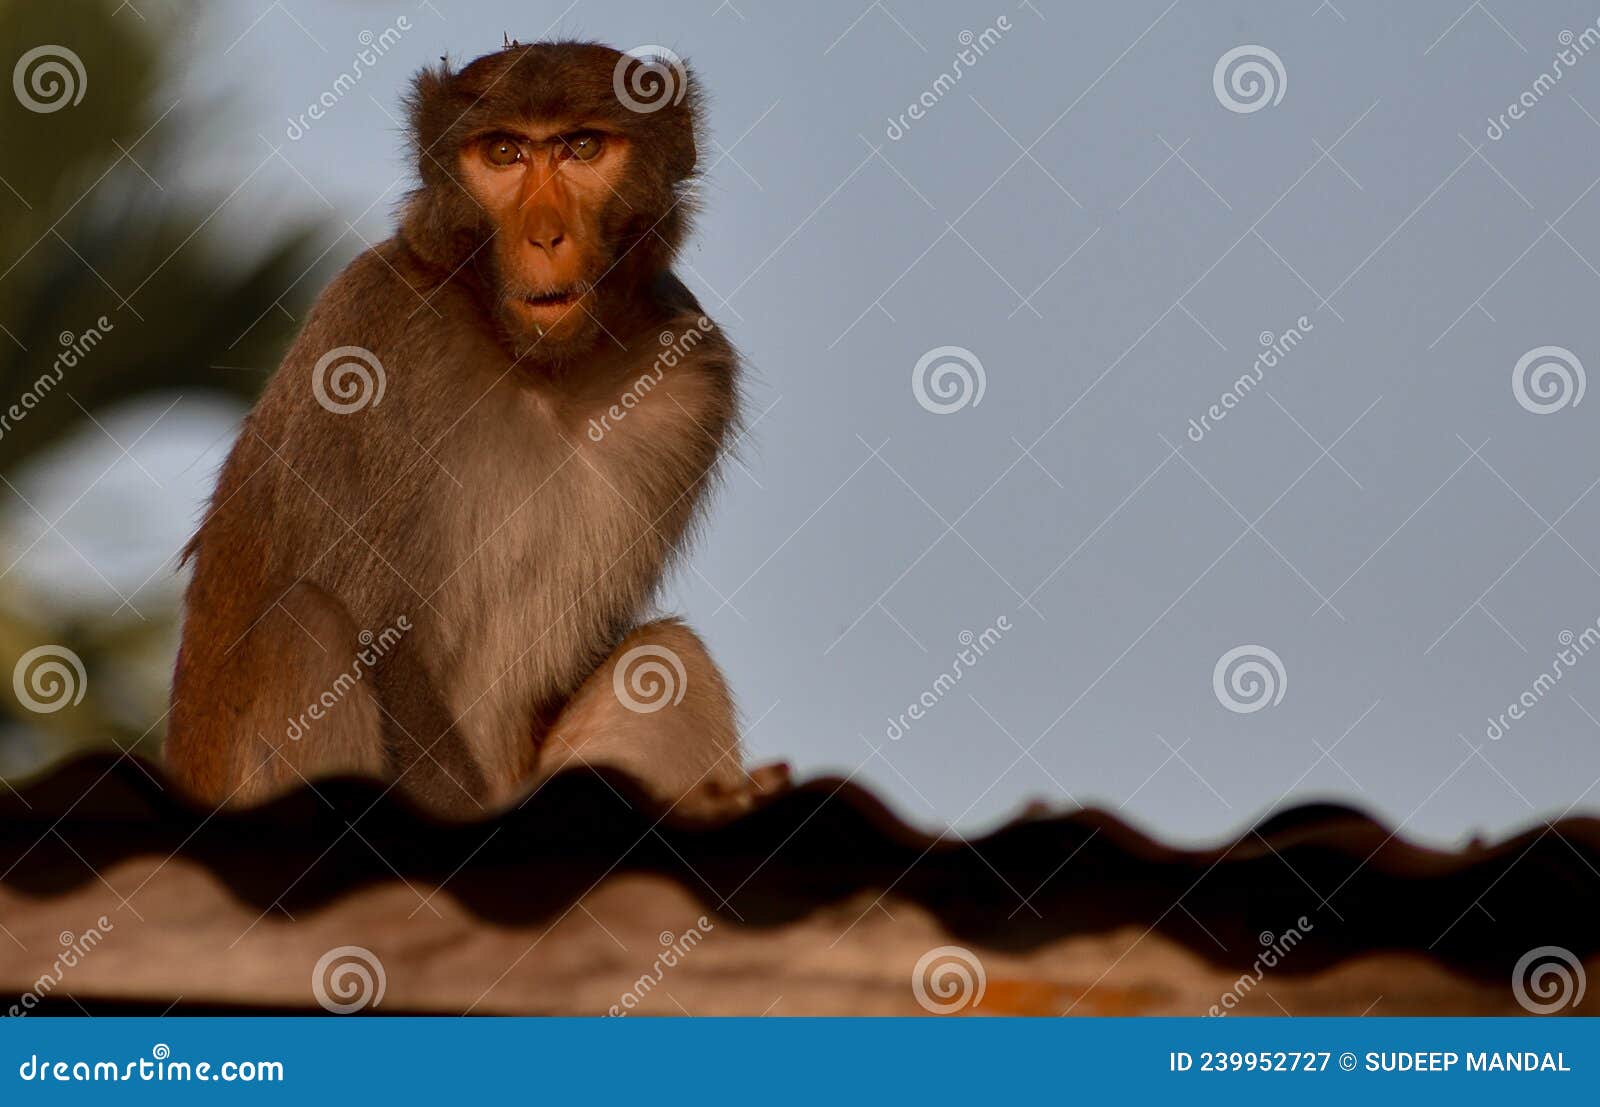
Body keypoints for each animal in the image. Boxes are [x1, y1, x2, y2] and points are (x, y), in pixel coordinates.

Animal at [165, 41, 781, 817]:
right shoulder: (374, 325)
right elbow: (382, 635)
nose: (544, 235)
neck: (537, 369)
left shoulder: (693, 371)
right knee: (305, 629)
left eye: (583, 147)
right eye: (503, 153)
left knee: (670, 663)